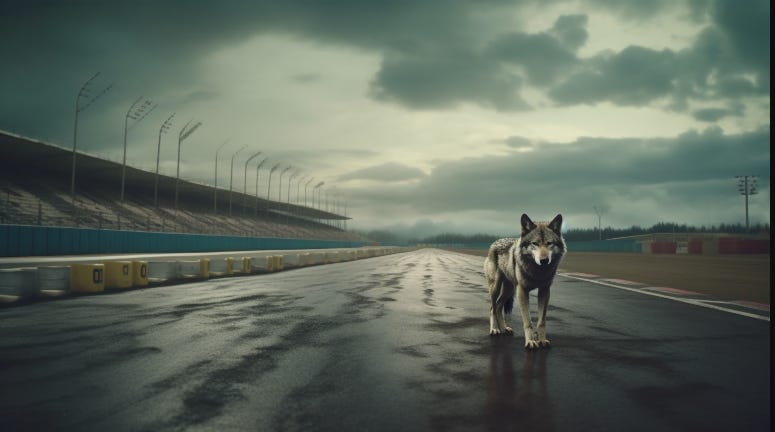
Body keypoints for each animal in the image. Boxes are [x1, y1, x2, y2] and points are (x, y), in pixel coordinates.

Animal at [484, 214, 566, 349]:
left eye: (549, 243)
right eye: (535, 243)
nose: (544, 260)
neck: (537, 272)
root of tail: (495, 242)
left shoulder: (544, 291)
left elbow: (541, 321)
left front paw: (542, 340)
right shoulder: (522, 291)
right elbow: (528, 321)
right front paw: (531, 341)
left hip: (509, 290)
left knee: (499, 307)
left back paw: (504, 329)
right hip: (496, 287)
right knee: (492, 308)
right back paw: (494, 329)